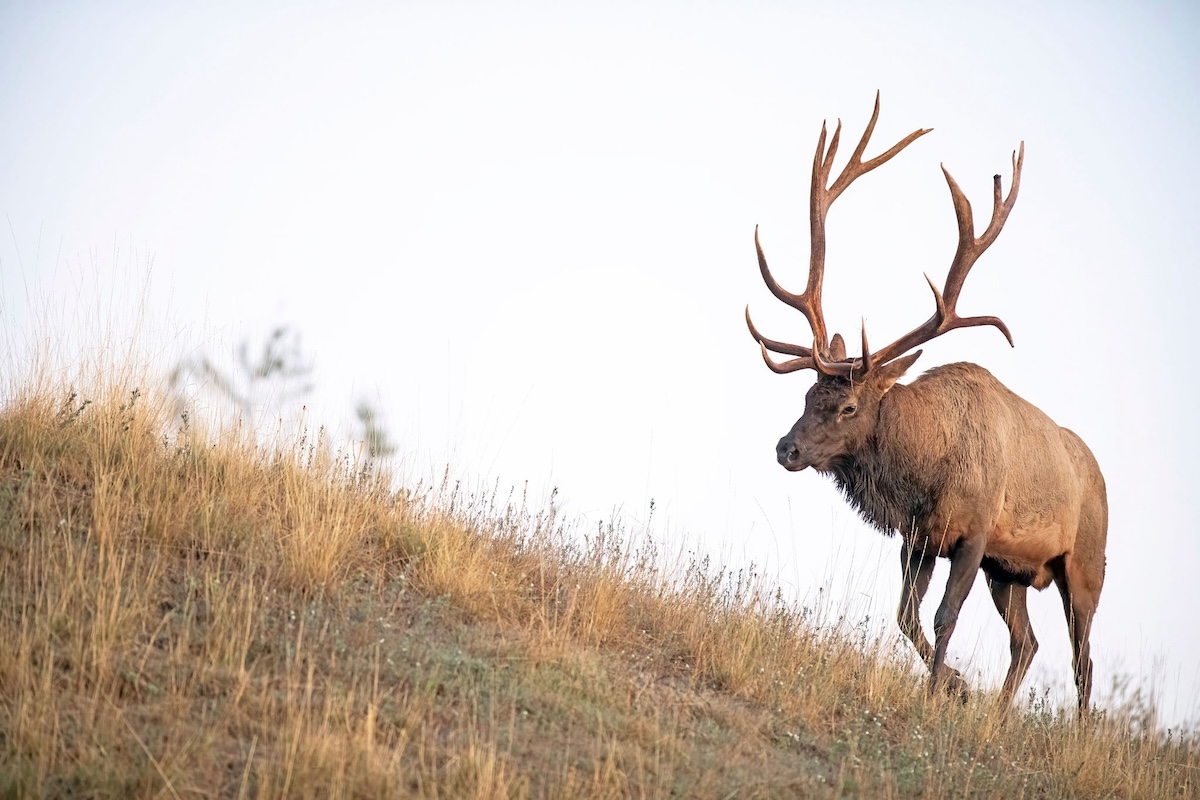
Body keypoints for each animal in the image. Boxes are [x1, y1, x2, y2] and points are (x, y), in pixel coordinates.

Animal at [746, 93, 1107, 713]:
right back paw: (1000, 714)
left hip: (1083, 566)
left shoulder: (975, 534)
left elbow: (943, 617)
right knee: (1027, 643)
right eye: (808, 393)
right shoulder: (919, 540)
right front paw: (957, 686)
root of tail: (1103, 478)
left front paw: (939, 690)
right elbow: (904, 614)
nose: (786, 448)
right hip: (1011, 572)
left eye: (848, 407)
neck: (923, 474)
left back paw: (1081, 729)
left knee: (1083, 660)